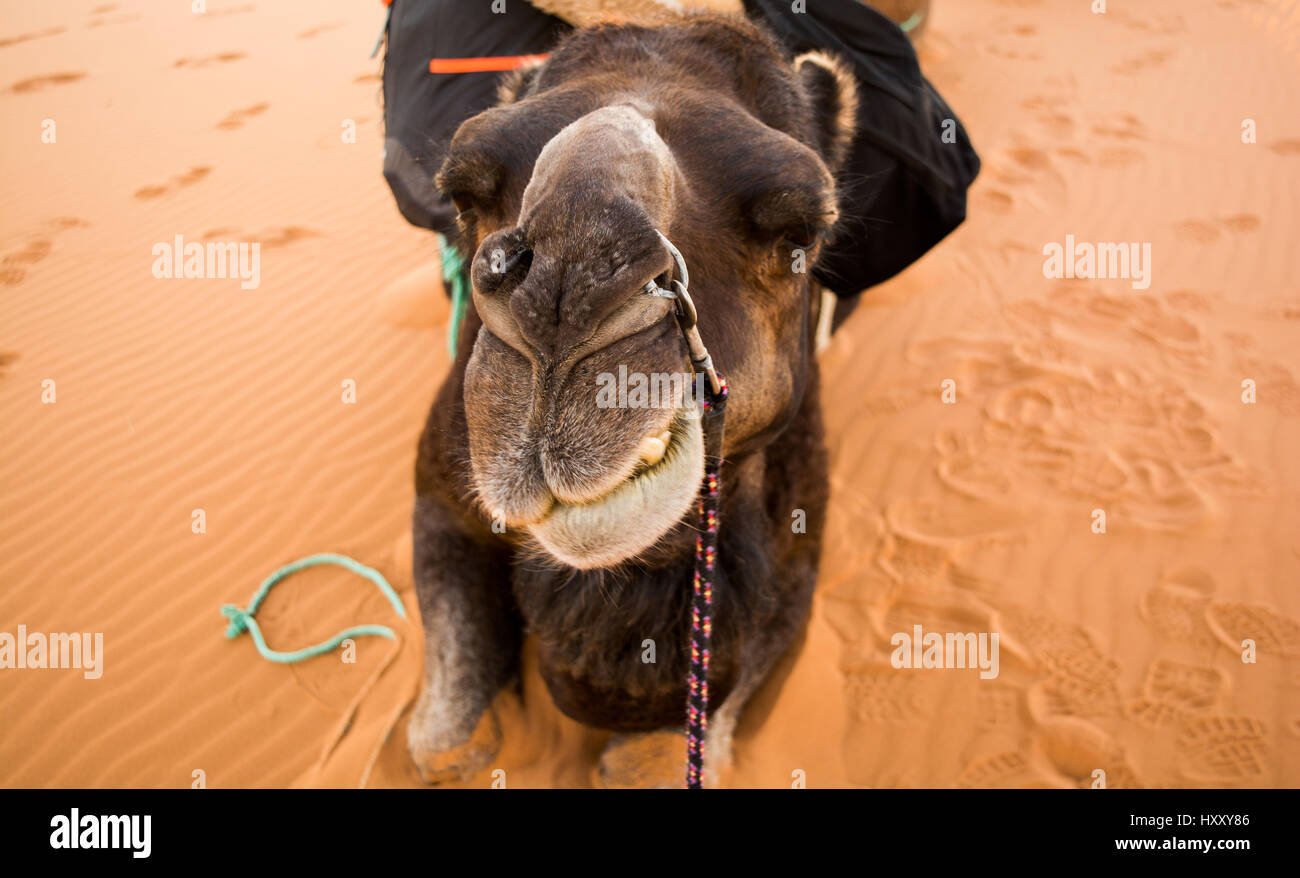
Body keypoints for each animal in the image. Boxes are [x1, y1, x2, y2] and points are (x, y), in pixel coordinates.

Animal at [407, 11, 858, 787]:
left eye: (800, 229)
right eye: (465, 193)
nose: (563, 290)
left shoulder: (794, 579)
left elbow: (662, 755)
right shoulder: (438, 494)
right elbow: (444, 746)